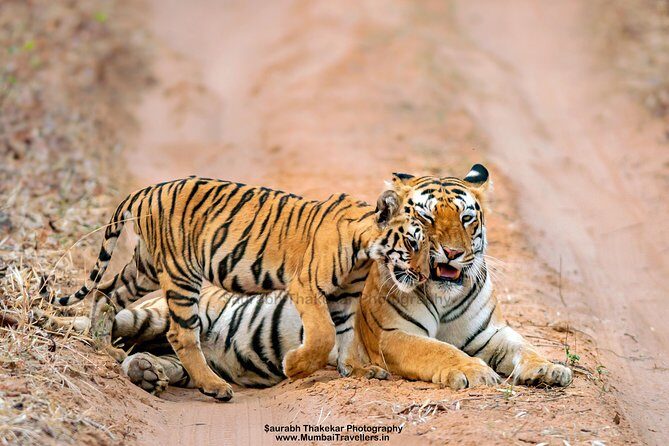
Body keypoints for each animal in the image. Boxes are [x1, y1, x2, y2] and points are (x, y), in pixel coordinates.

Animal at [41, 176, 430, 401]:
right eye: (413, 243)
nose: (427, 275)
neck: (365, 252)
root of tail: (148, 190)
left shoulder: (345, 297)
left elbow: (346, 335)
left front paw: (357, 371)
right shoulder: (306, 287)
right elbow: (323, 336)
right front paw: (295, 366)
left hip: (146, 267)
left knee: (107, 292)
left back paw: (104, 349)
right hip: (181, 273)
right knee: (180, 334)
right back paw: (214, 386)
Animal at [340, 164, 573, 388]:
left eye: (466, 218)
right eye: (426, 217)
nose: (452, 252)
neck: (443, 297)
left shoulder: (490, 333)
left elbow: (523, 346)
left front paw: (549, 368)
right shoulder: (391, 333)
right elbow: (437, 349)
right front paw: (475, 371)